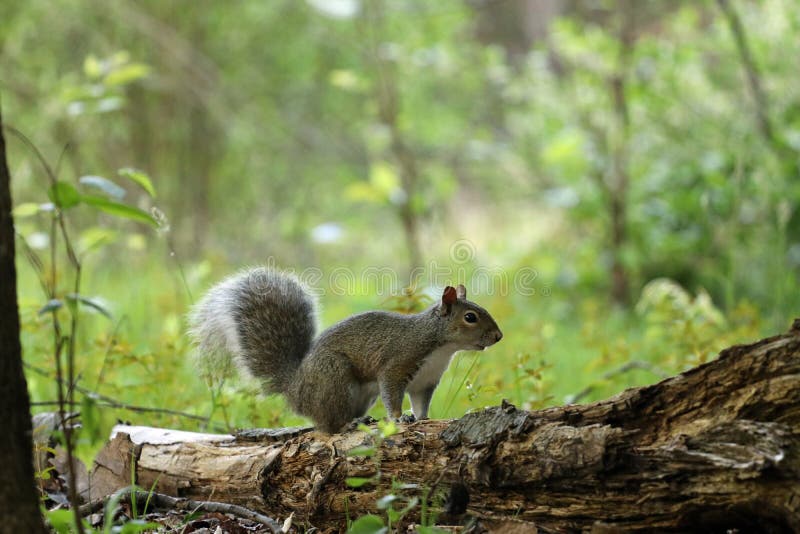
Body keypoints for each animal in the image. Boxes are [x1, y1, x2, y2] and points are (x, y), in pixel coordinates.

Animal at [187, 268, 503, 433]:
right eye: (470, 317)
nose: (499, 337)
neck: (441, 346)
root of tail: (296, 389)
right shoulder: (397, 364)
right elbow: (392, 394)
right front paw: (399, 418)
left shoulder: (426, 382)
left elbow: (421, 403)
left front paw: (423, 418)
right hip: (335, 377)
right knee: (329, 424)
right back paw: (351, 424)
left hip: (362, 393)